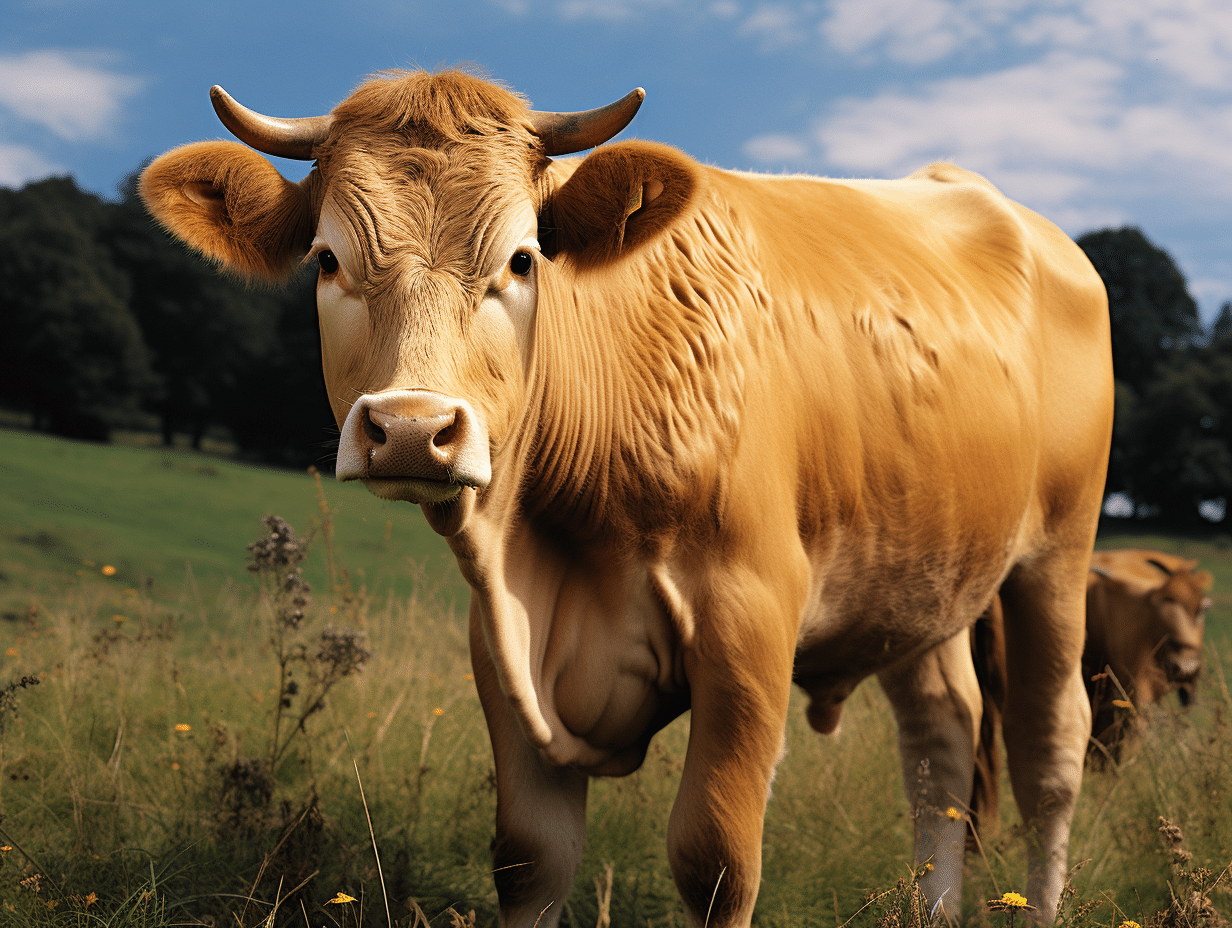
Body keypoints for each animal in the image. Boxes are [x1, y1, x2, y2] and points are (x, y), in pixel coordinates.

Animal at [139, 69, 1113, 927]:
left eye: (522, 259)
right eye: (327, 261)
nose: (413, 428)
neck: (553, 541)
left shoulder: (751, 620)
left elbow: (716, 858)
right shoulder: (500, 644)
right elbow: (529, 858)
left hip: (1058, 555)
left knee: (1049, 746)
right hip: (922, 568)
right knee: (942, 741)